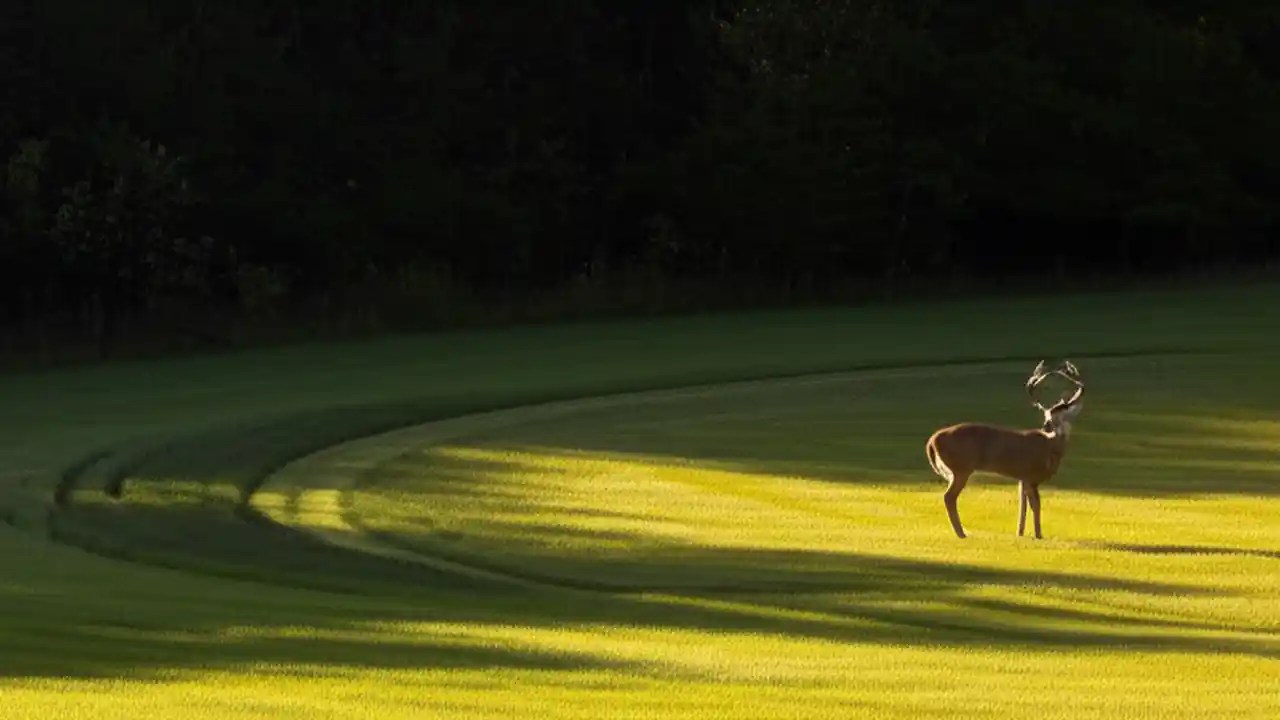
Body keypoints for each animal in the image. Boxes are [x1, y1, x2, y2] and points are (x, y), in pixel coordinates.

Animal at [924, 360, 1084, 539]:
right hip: (961, 467)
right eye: (1047, 415)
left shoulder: (1022, 477)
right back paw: (961, 533)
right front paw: (1038, 535)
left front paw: (1020, 533)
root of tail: (932, 441)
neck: (1051, 447)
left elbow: (1023, 506)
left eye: (1060, 415)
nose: (1046, 425)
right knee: (949, 497)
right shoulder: (1032, 474)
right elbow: (1036, 504)